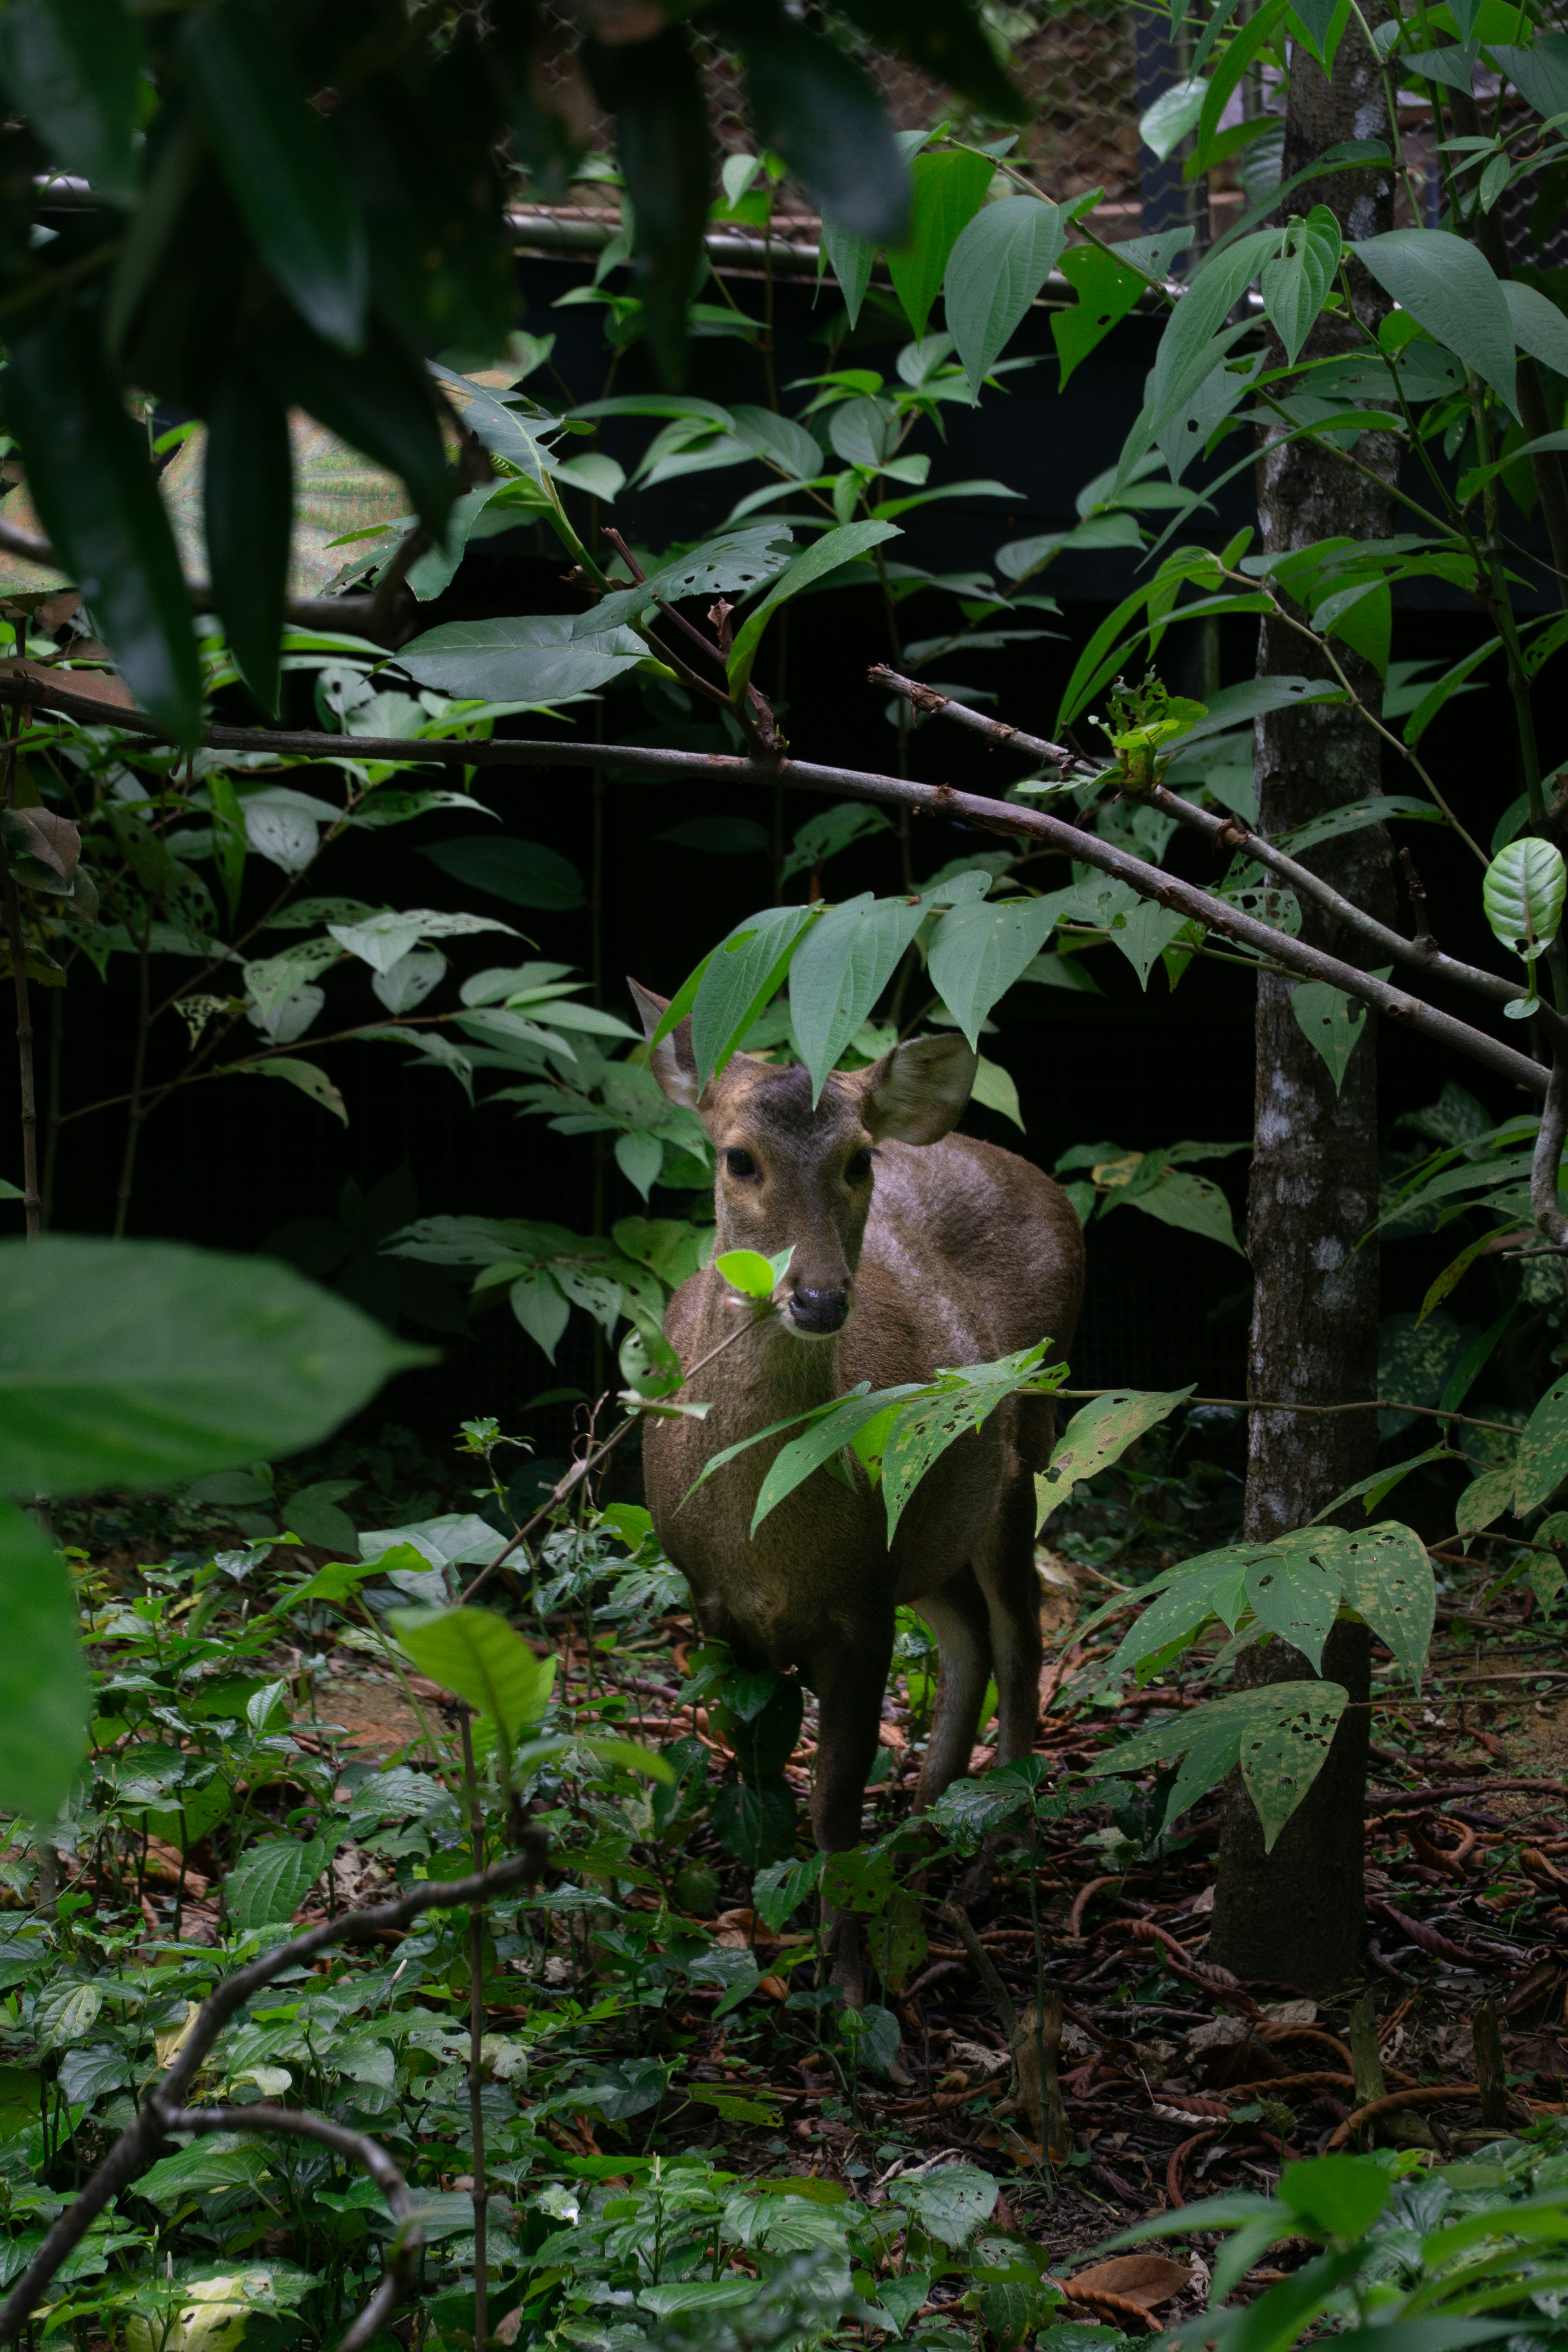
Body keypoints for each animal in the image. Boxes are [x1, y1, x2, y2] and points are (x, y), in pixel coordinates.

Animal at [629, 982, 1085, 1988]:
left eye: (857, 1159)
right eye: (739, 1158)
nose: (818, 1297)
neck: (768, 1534)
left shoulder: (862, 1601)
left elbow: (834, 1797)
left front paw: (844, 1974)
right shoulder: (712, 1596)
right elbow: (756, 1762)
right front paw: (759, 1909)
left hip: (1024, 1436)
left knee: (1019, 1643)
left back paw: (991, 1861)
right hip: (930, 1529)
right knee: (969, 1640)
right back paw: (920, 1828)